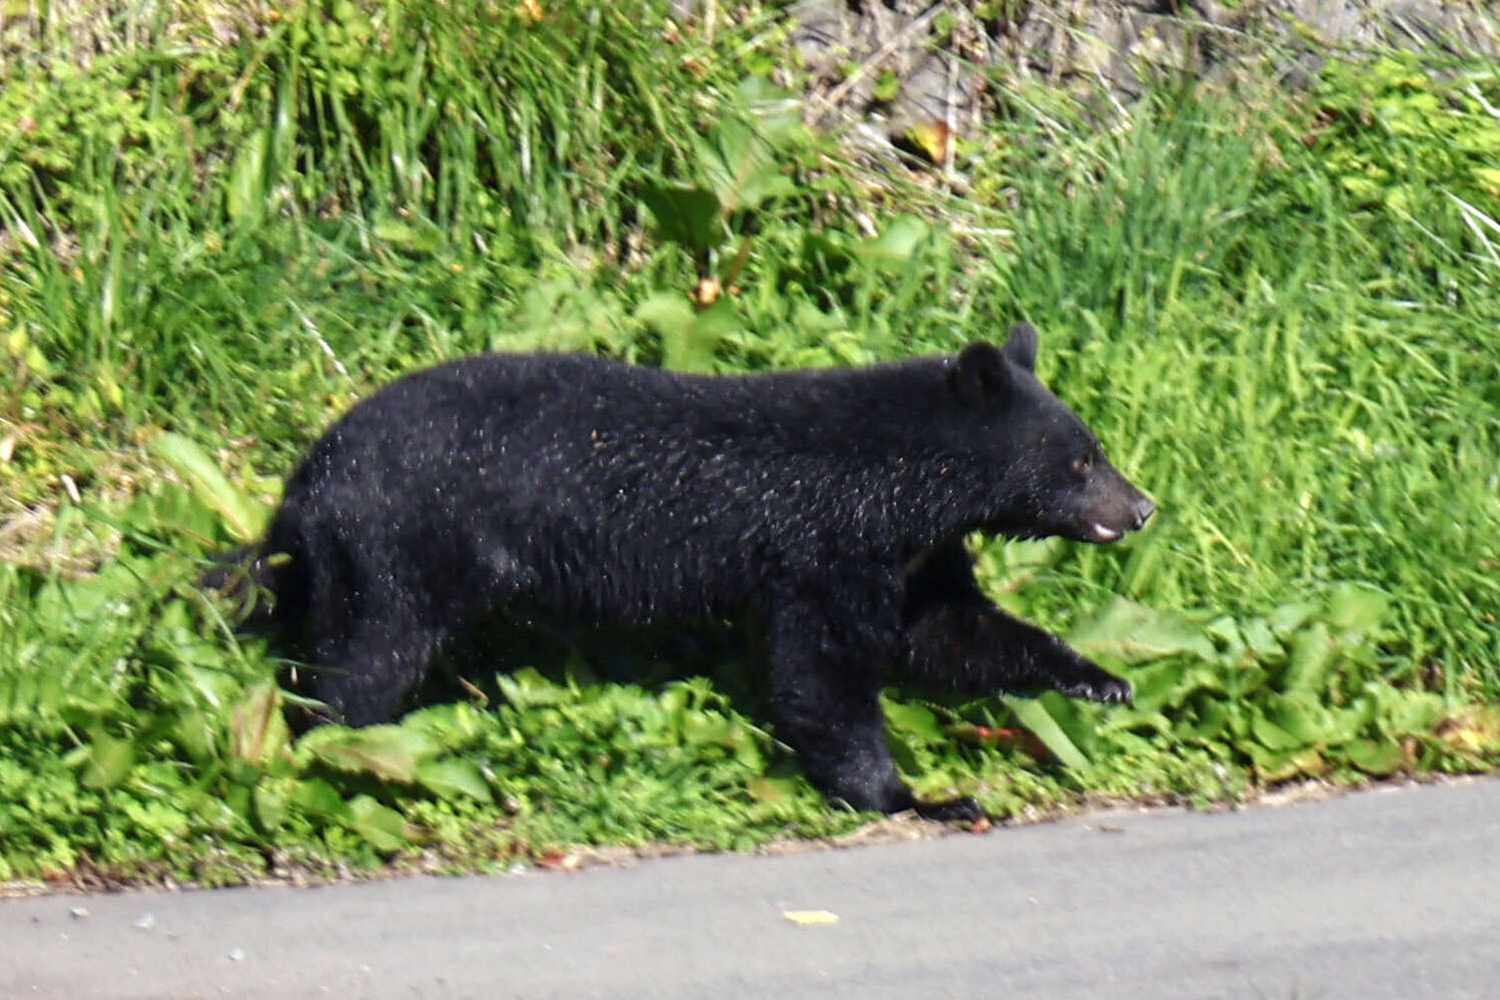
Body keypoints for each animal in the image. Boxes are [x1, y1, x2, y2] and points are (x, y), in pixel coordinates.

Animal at [223, 322, 1154, 821]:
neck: (899, 481)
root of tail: (305, 482)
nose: (1141, 506)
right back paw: (338, 759)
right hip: (398, 548)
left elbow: (952, 631)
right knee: (364, 664)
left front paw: (1099, 678)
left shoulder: (913, 558)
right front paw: (913, 796)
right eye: (1080, 460)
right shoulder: (822, 550)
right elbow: (824, 676)